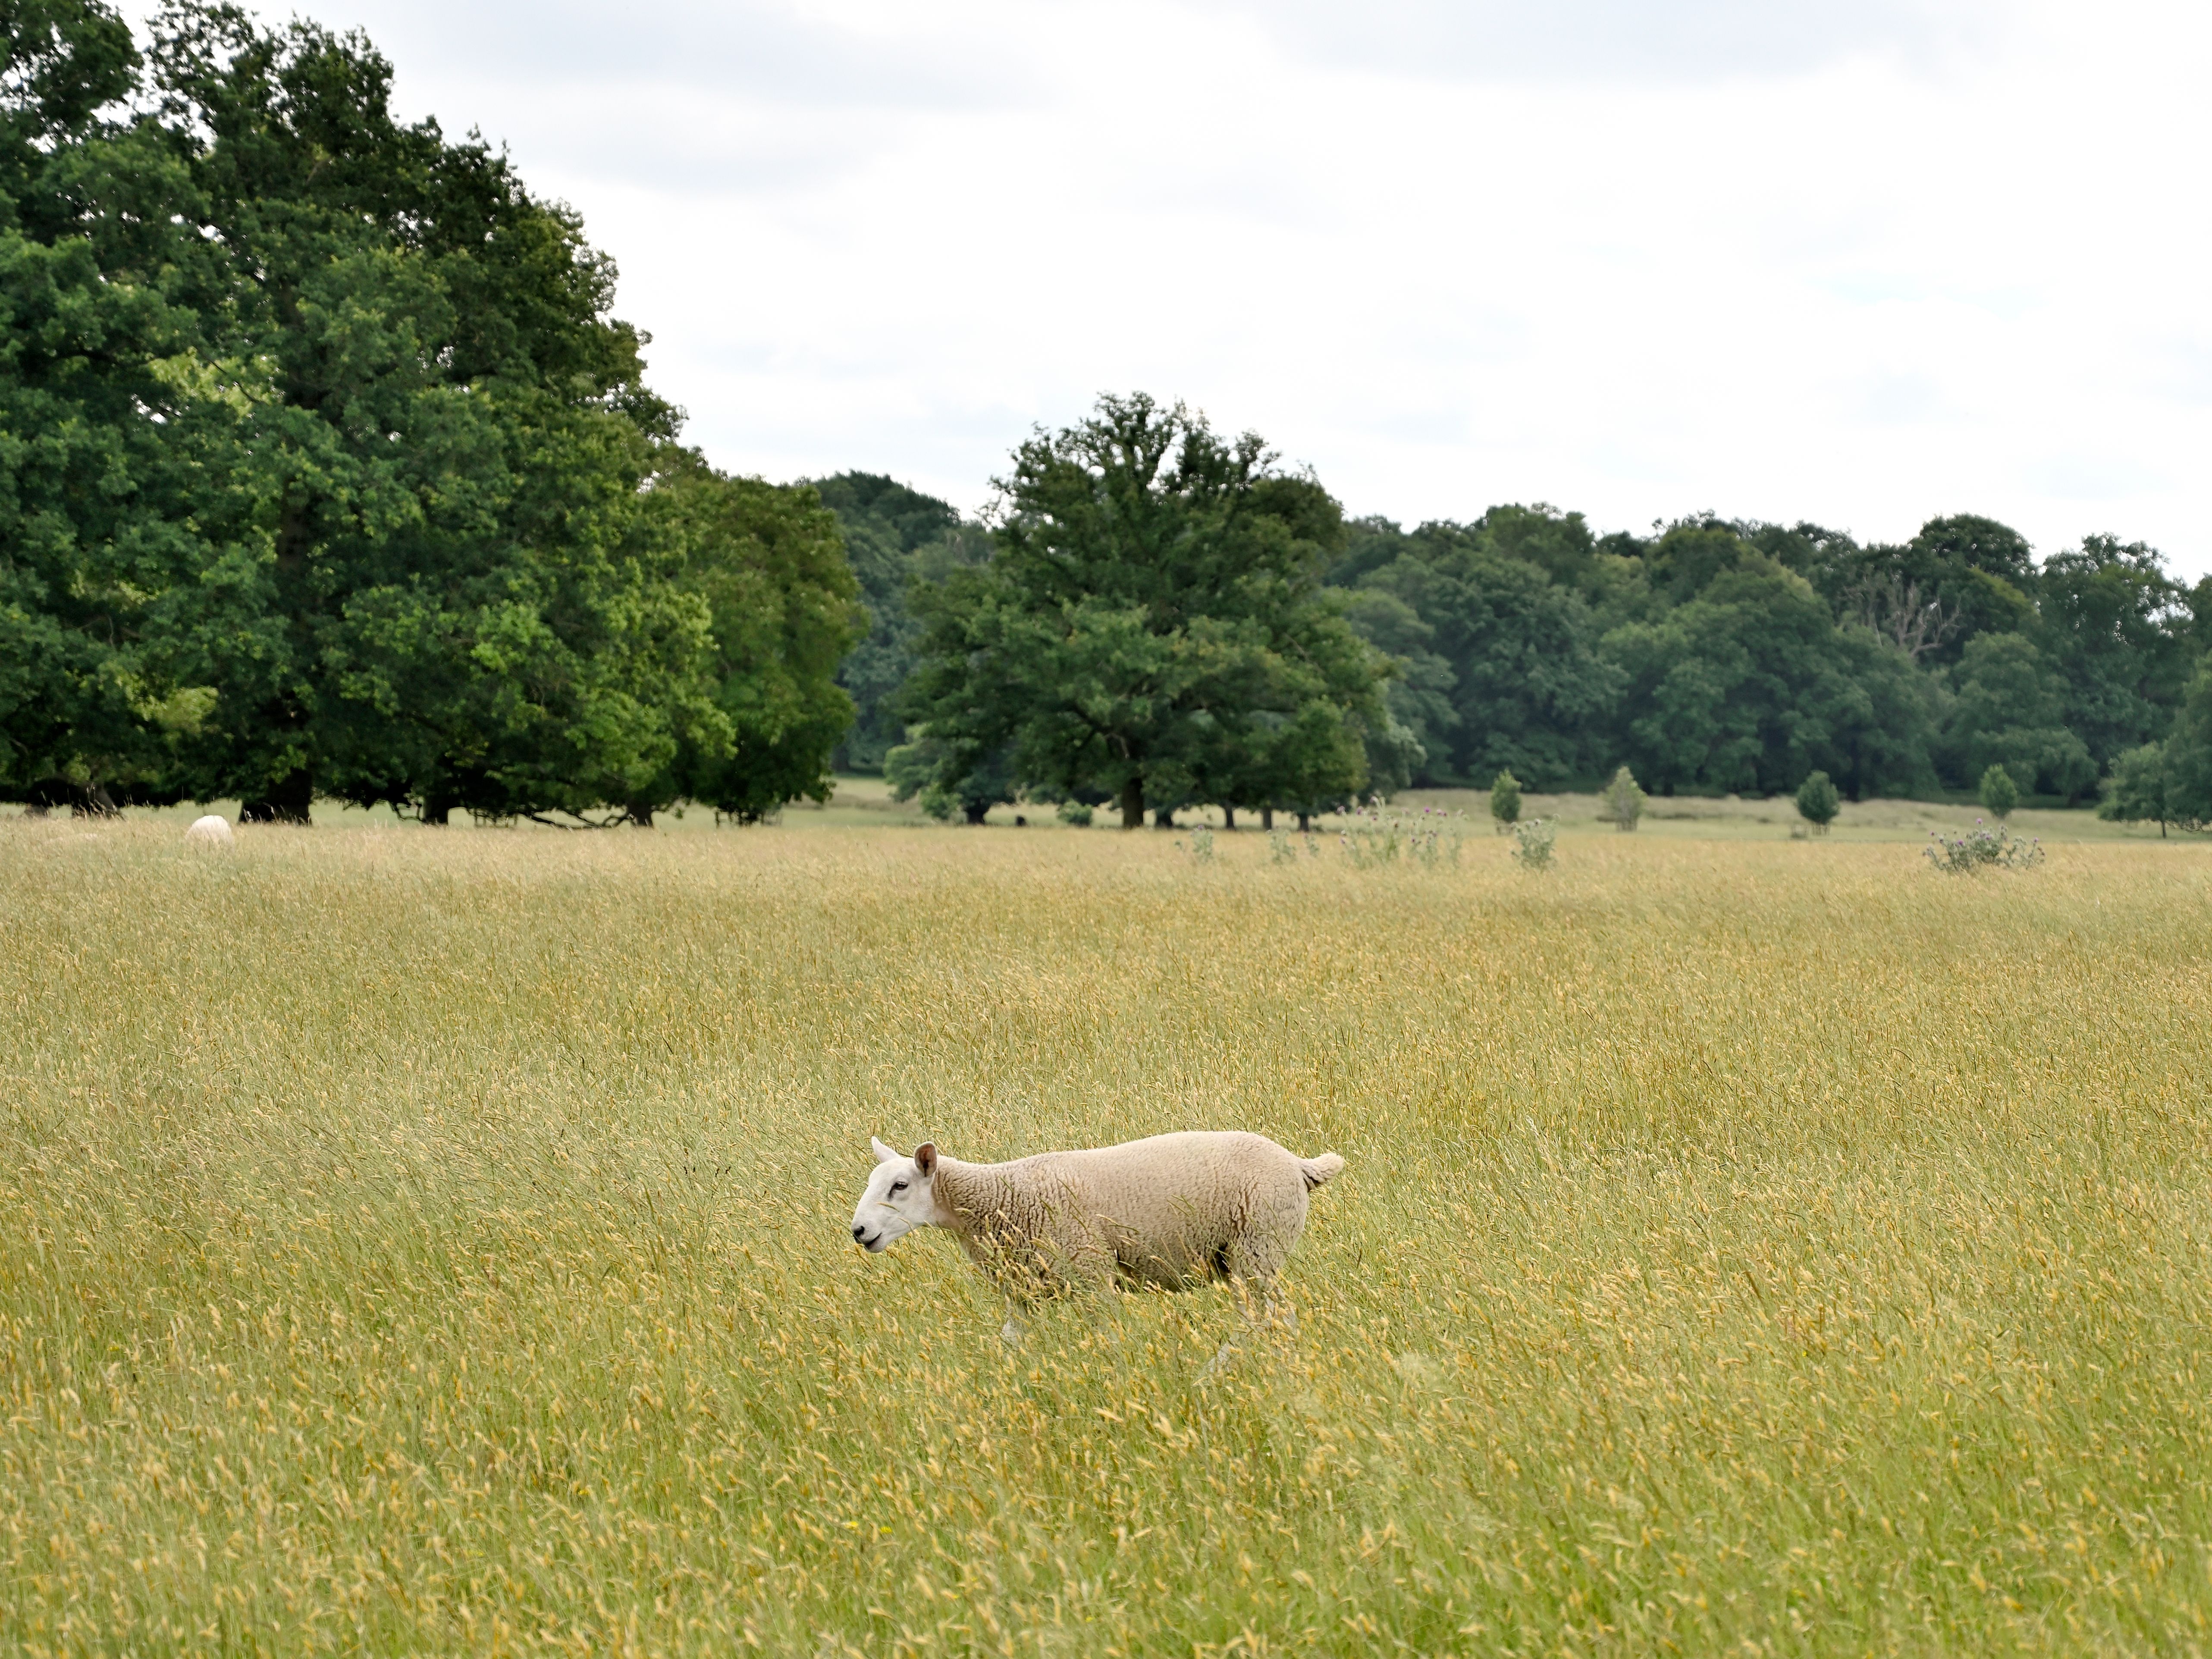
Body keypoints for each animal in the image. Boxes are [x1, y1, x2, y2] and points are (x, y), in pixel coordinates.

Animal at [850, 1130, 1344, 1363]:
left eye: (899, 1186)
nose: (858, 1230)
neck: (999, 1199)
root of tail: (1299, 1164)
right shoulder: (1024, 1293)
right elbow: (1010, 1344)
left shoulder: (1093, 1277)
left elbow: (1106, 1340)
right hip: (1240, 1258)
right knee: (1260, 1320)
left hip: (1257, 1247)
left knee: (1276, 1318)